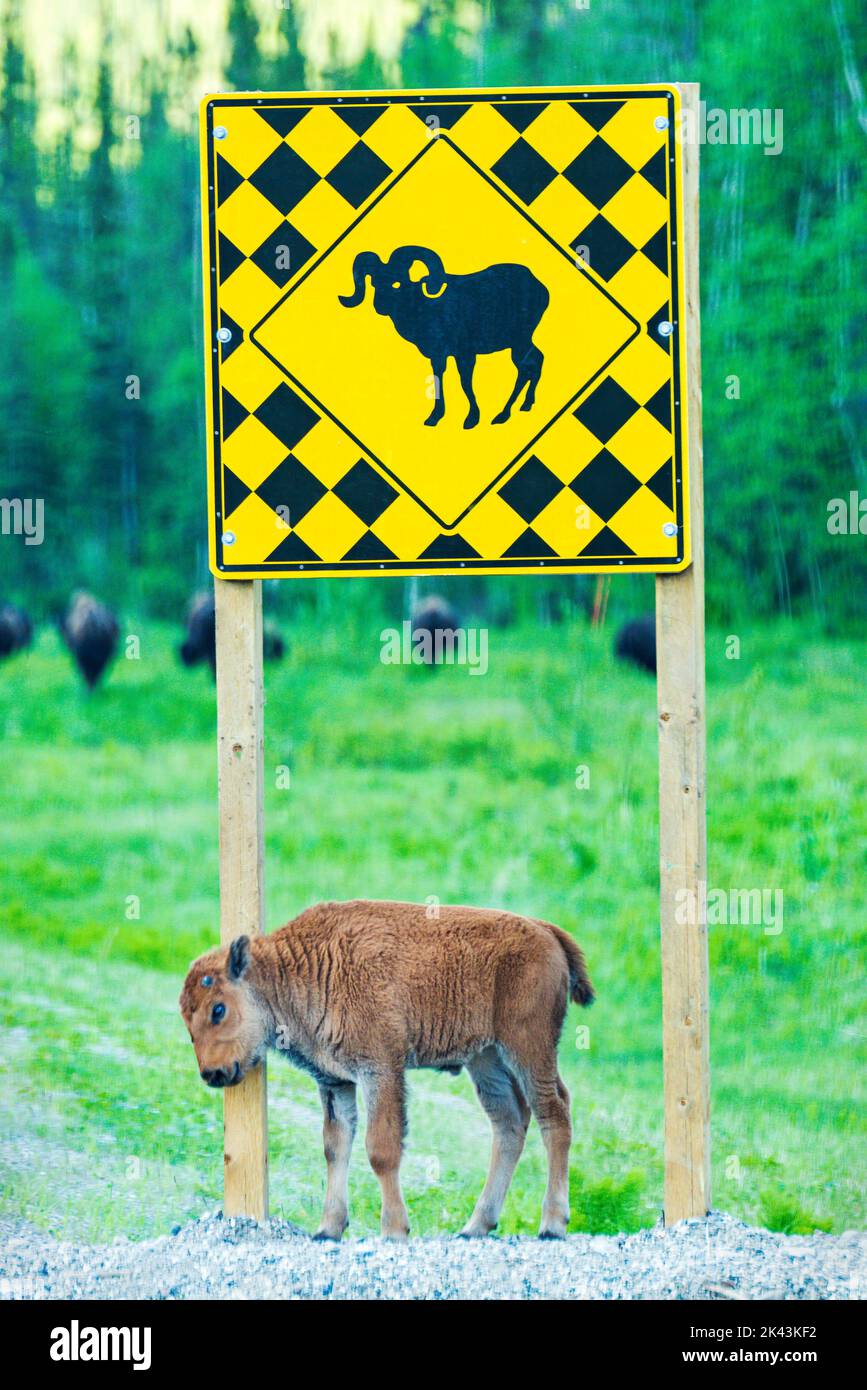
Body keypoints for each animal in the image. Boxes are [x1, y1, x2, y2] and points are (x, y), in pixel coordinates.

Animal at [180, 899, 594, 1241]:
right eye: (186, 1021)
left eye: (218, 1009)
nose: (213, 1074)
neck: (298, 968)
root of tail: (546, 931)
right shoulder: (335, 1081)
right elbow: (335, 1146)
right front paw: (328, 1230)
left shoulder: (381, 1071)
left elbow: (381, 1149)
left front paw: (394, 1230)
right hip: (486, 1059)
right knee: (510, 1122)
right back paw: (475, 1226)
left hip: (528, 1048)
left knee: (554, 1114)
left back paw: (552, 1225)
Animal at [339, 246, 549, 429]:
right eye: (374, 282)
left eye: (397, 282)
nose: (380, 306)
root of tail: (540, 287)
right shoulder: (438, 356)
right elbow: (438, 378)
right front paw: (434, 417)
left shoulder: (465, 354)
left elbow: (465, 383)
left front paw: (471, 419)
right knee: (536, 361)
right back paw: (525, 405)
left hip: (520, 342)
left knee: (526, 368)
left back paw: (503, 414)